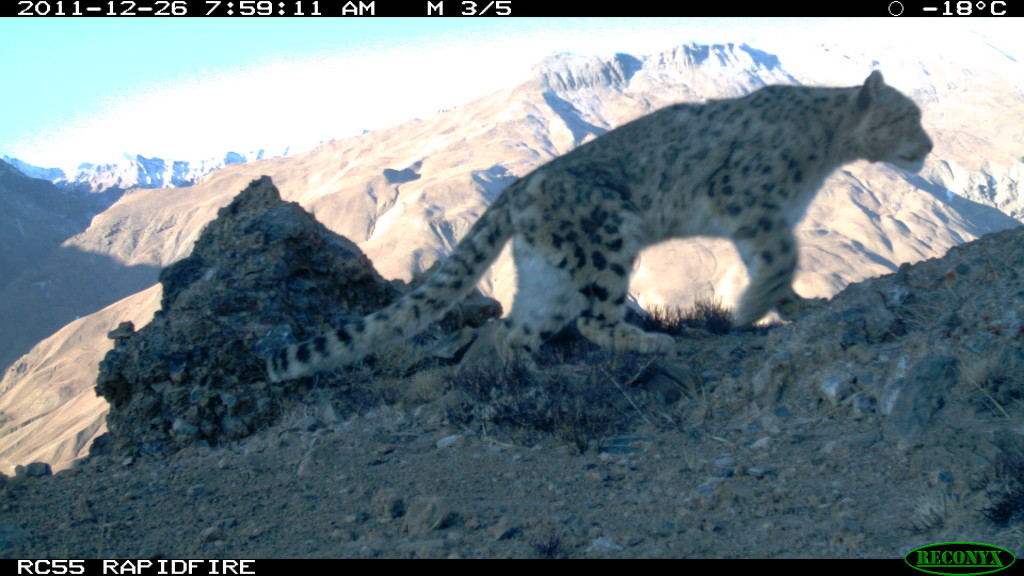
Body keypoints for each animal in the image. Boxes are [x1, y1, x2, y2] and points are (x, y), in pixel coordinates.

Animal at [267, 70, 932, 382]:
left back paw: (524, 372)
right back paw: (649, 342)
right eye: (908, 115)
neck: (823, 155)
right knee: (592, 317)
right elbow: (781, 259)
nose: (928, 145)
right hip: (607, 241)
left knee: (519, 327)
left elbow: (779, 266)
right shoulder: (752, 204)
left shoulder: (764, 221)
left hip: (548, 276)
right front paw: (750, 311)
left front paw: (795, 307)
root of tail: (519, 188)